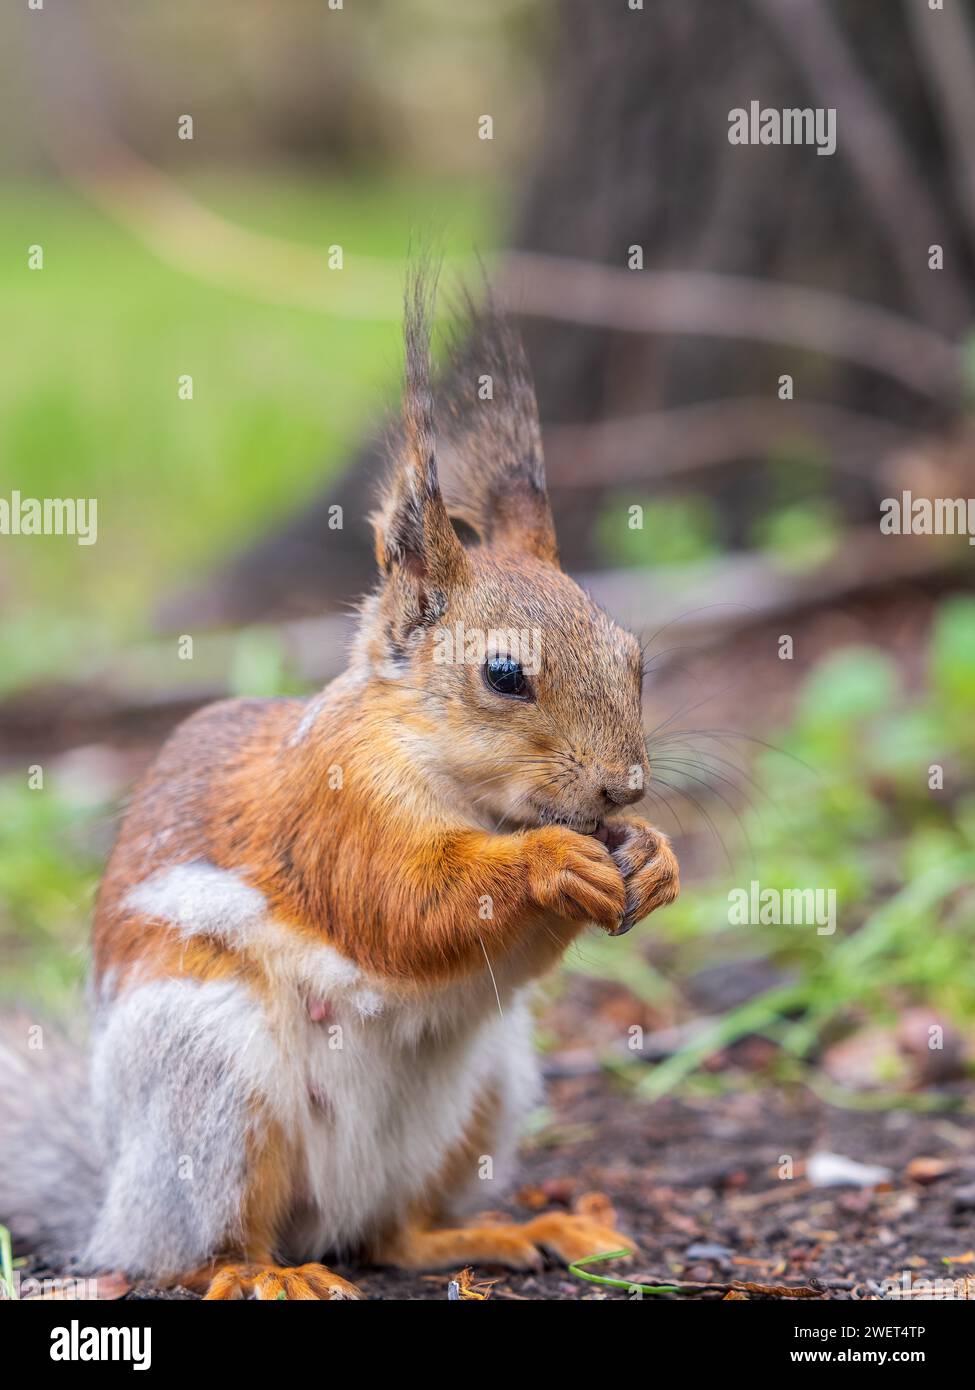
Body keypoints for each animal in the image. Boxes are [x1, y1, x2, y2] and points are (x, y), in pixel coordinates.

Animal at [0, 269, 679, 1300]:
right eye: (504, 675)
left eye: (635, 658)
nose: (623, 790)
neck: (462, 789)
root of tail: (113, 1207)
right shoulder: (334, 810)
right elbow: (400, 905)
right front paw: (550, 863)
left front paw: (656, 858)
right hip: (212, 1085)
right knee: (203, 1247)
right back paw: (261, 1274)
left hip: (486, 1091)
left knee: (393, 1234)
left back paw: (499, 1231)